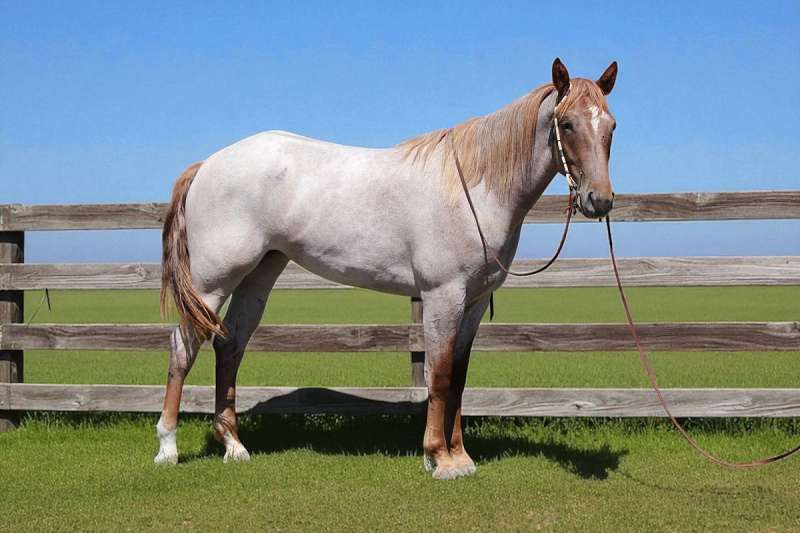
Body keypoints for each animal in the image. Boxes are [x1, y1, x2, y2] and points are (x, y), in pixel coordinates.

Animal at [155, 58, 618, 479]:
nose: (600, 200)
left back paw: (234, 446)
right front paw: (439, 459)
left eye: (611, 126)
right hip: (212, 282)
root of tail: (207, 165)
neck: (472, 186)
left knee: (230, 345)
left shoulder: (473, 302)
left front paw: (461, 457)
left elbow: (459, 378)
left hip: (259, 274)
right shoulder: (443, 295)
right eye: (568, 124)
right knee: (183, 347)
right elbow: (439, 375)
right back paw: (168, 448)